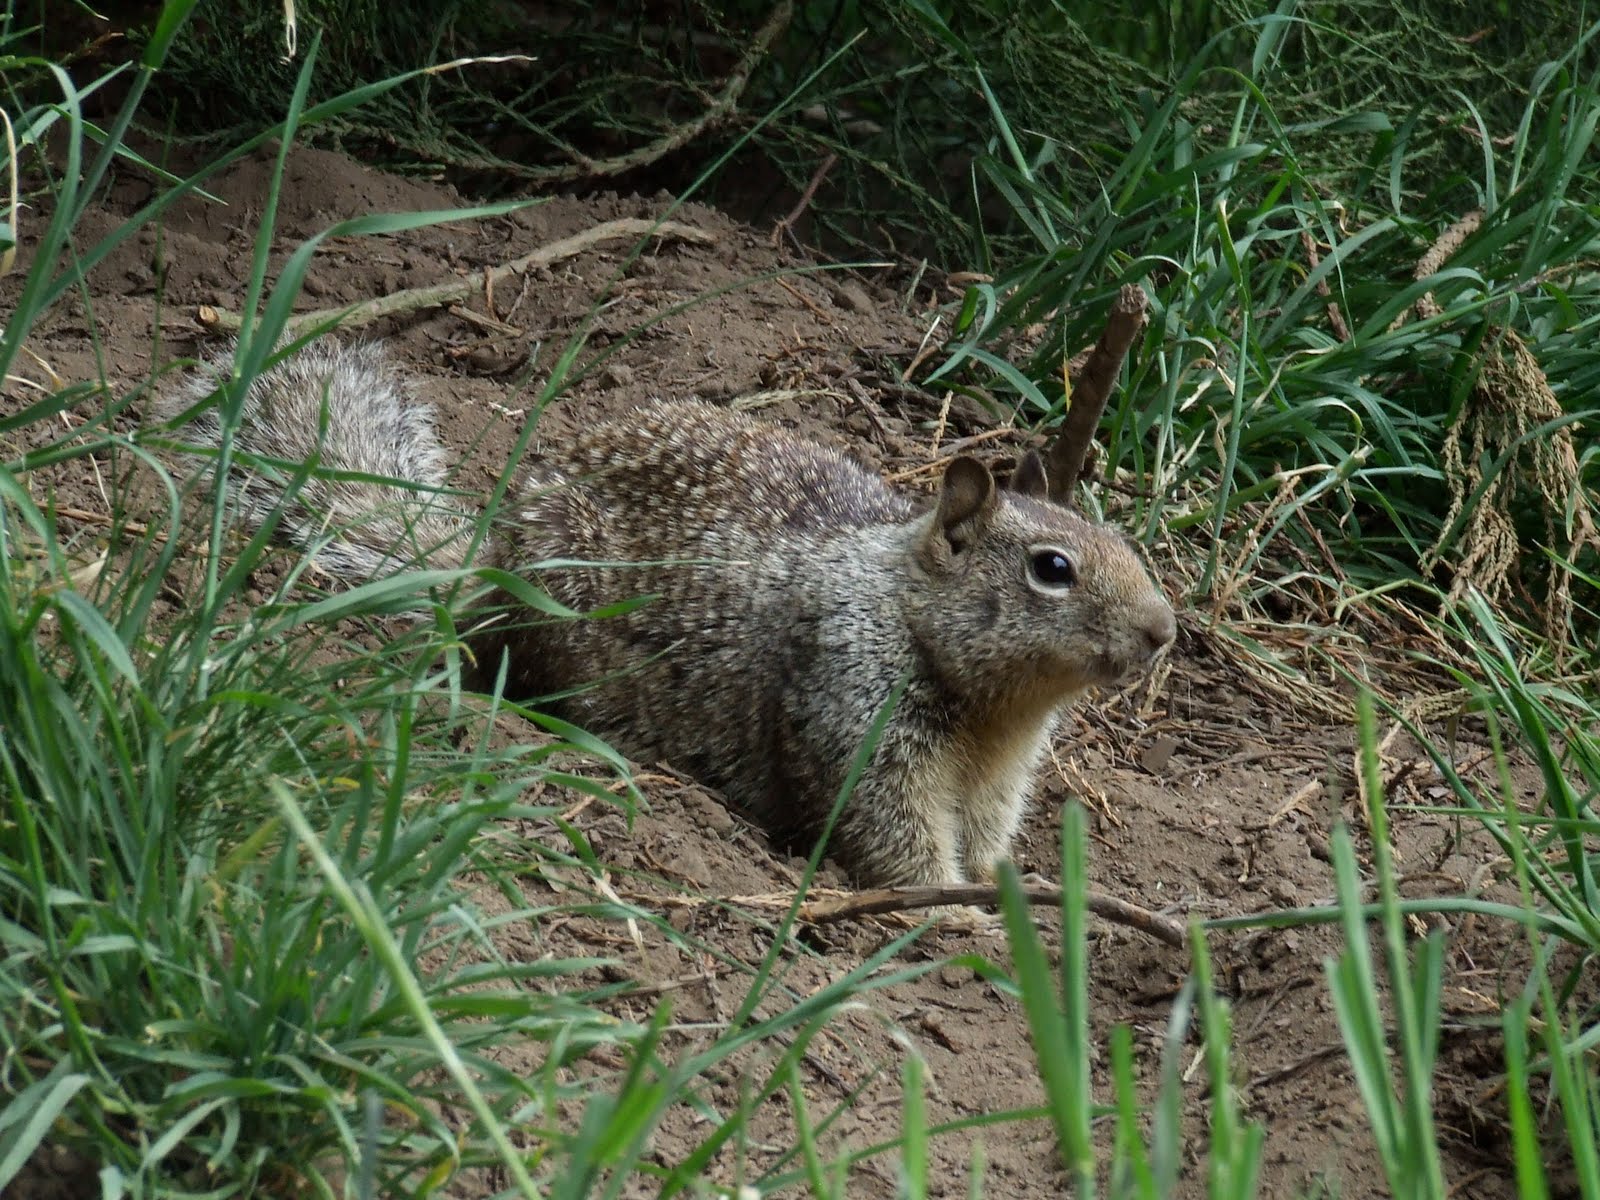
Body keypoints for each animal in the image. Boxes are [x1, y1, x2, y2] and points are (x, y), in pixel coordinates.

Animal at [155, 336, 1177, 891]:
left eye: (1117, 539)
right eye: (1053, 569)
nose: (1165, 631)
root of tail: (482, 574)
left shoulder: (1002, 772)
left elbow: (991, 829)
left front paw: (1009, 886)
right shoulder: (856, 708)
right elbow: (889, 827)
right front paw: (954, 909)